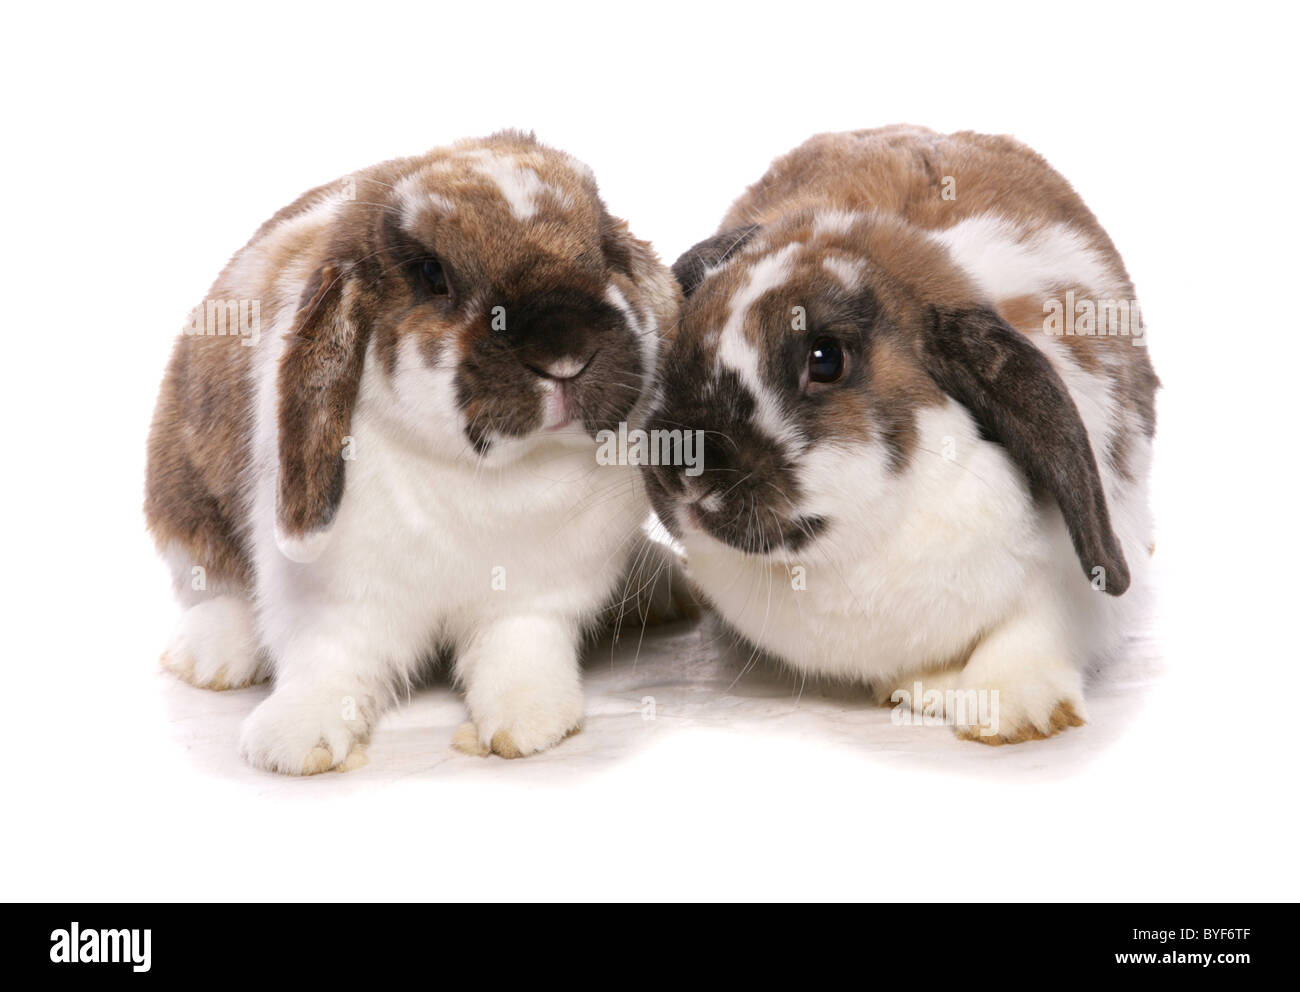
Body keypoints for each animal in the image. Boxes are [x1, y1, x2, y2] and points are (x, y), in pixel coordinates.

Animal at [145, 130, 685, 774]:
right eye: (433, 274)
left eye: (602, 248)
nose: (565, 353)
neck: (491, 474)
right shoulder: (334, 603)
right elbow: (327, 663)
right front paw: (293, 743)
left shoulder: (536, 600)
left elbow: (521, 653)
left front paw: (530, 723)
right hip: (185, 502)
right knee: (213, 587)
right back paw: (211, 657)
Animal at [644, 126, 1158, 744]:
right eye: (685, 325)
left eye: (825, 358)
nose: (680, 460)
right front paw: (927, 688)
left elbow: (1038, 626)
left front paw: (1012, 708)